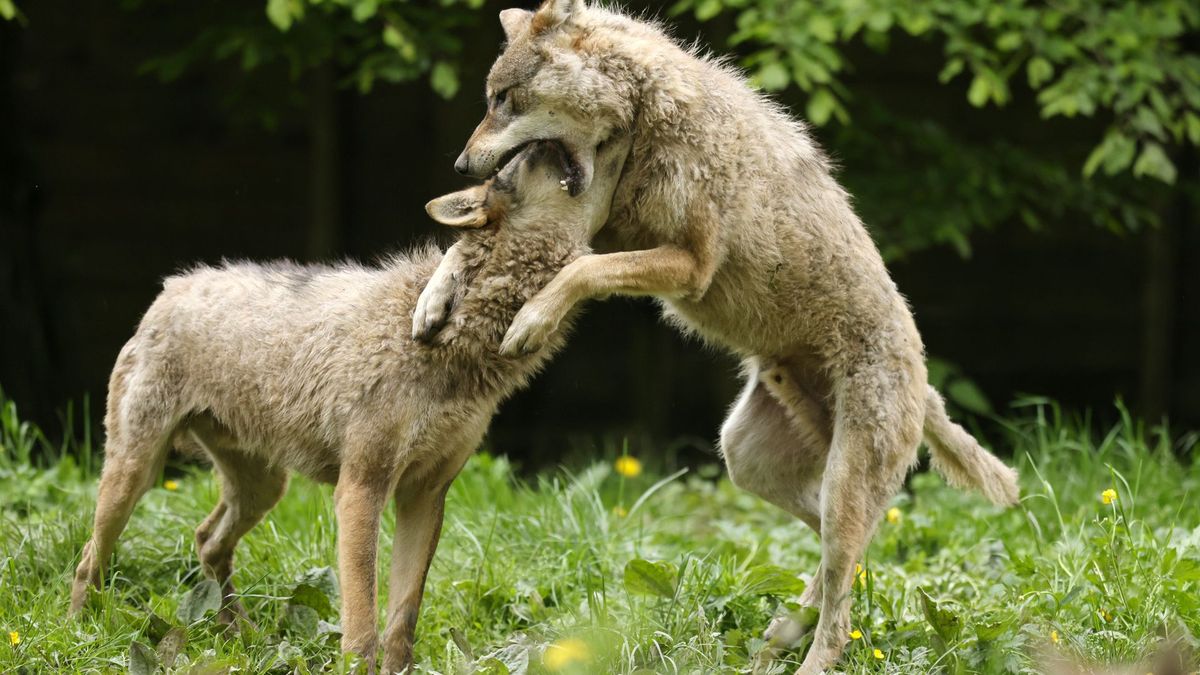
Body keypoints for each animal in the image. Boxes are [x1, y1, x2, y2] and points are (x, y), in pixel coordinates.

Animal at [69, 138, 629, 674]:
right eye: (525, 163)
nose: (543, 142)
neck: (454, 338)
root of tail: (173, 287)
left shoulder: (426, 496)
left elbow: (402, 616)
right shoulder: (361, 490)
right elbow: (362, 619)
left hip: (265, 488)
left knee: (207, 540)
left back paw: (242, 637)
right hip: (134, 476)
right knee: (90, 557)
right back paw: (84, 633)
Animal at [412, 1, 1021, 672]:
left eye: (503, 99)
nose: (461, 166)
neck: (650, 123)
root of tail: (924, 379)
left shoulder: (686, 263)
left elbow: (579, 272)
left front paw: (529, 322)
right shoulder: (604, 231)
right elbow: (469, 249)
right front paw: (432, 302)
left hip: (838, 485)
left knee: (842, 601)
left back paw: (806, 655)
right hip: (747, 460)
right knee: (849, 555)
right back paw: (780, 633)